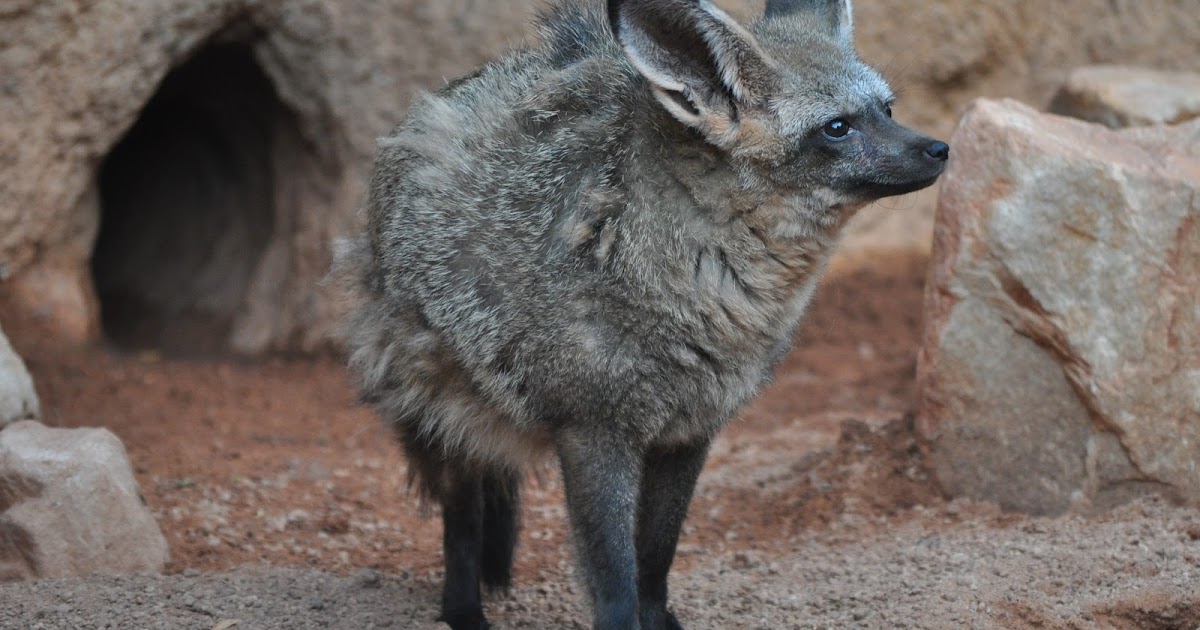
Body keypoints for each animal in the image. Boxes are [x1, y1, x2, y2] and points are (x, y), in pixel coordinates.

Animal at [344, 0, 948, 628]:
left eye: (887, 109)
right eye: (837, 127)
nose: (939, 148)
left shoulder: (692, 430)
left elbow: (656, 559)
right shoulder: (594, 432)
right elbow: (614, 579)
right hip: (449, 419)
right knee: (460, 521)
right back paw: (462, 609)